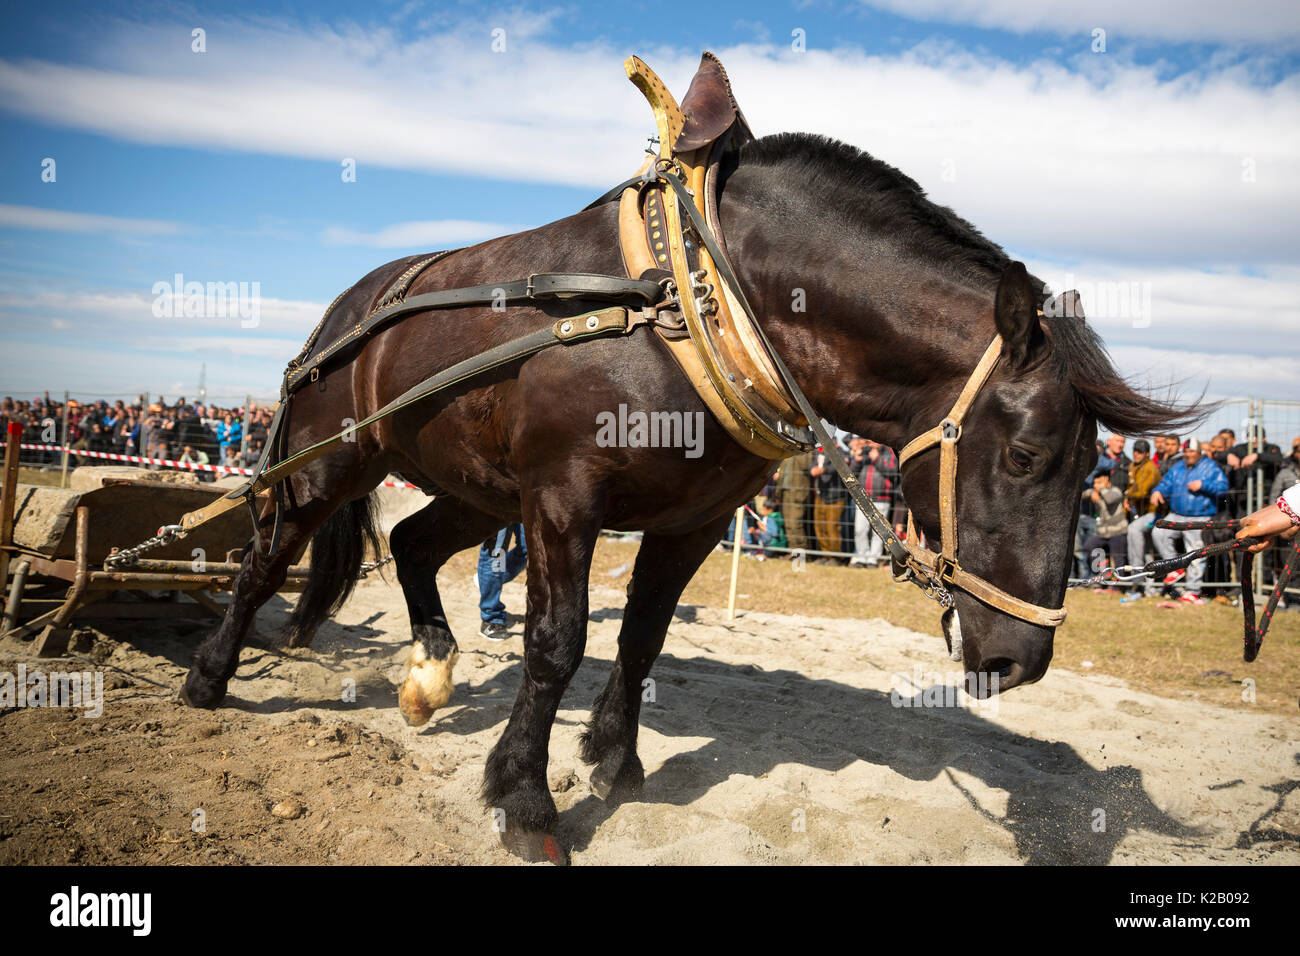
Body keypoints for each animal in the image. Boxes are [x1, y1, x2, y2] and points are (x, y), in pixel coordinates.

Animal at [177, 130, 1200, 863]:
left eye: (1095, 468)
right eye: (1026, 456)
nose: (1022, 656)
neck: (692, 298)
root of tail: (350, 310)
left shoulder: (695, 521)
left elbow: (642, 640)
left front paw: (616, 762)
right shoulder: (564, 500)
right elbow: (556, 645)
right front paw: (526, 800)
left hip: (476, 489)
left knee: (418, 545)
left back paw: (430, 670)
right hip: (329, 465)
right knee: (267, 558)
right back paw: (209, 677)